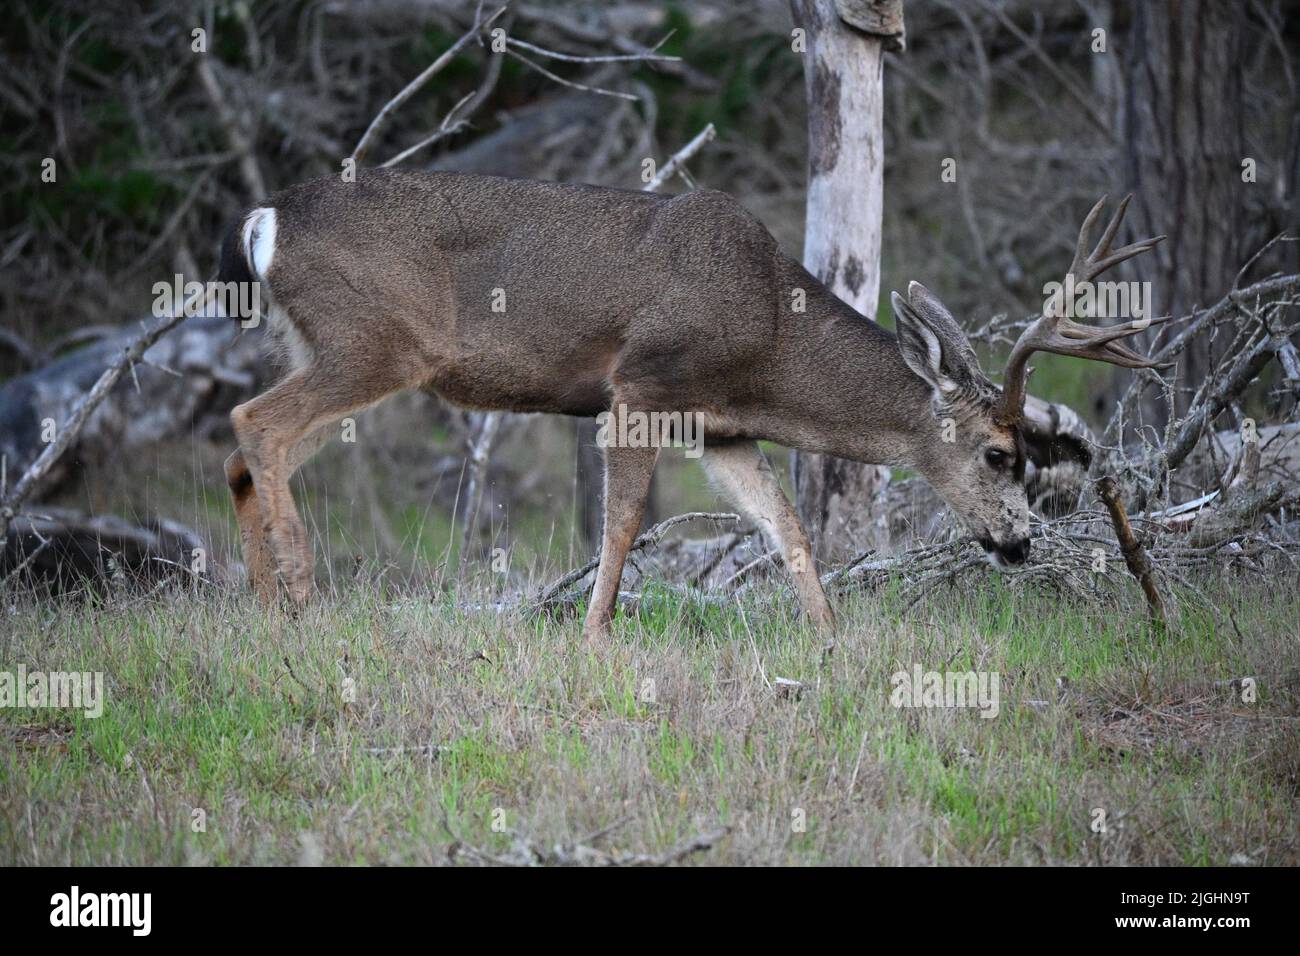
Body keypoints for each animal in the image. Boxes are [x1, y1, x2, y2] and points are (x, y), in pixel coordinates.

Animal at [216, 171, 1163, 643]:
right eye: (1002, 454)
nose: (1018, 543)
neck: (769, 340)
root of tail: (264, 220)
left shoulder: (721, 430)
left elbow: (785, 524)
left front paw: (830, 640)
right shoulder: (642, 386)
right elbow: (624, 519)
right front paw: (595, 635)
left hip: (319, 345)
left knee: (241, 449)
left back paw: (262, 611)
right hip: (374, 341)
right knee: (252, 423)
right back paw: (300, 595)